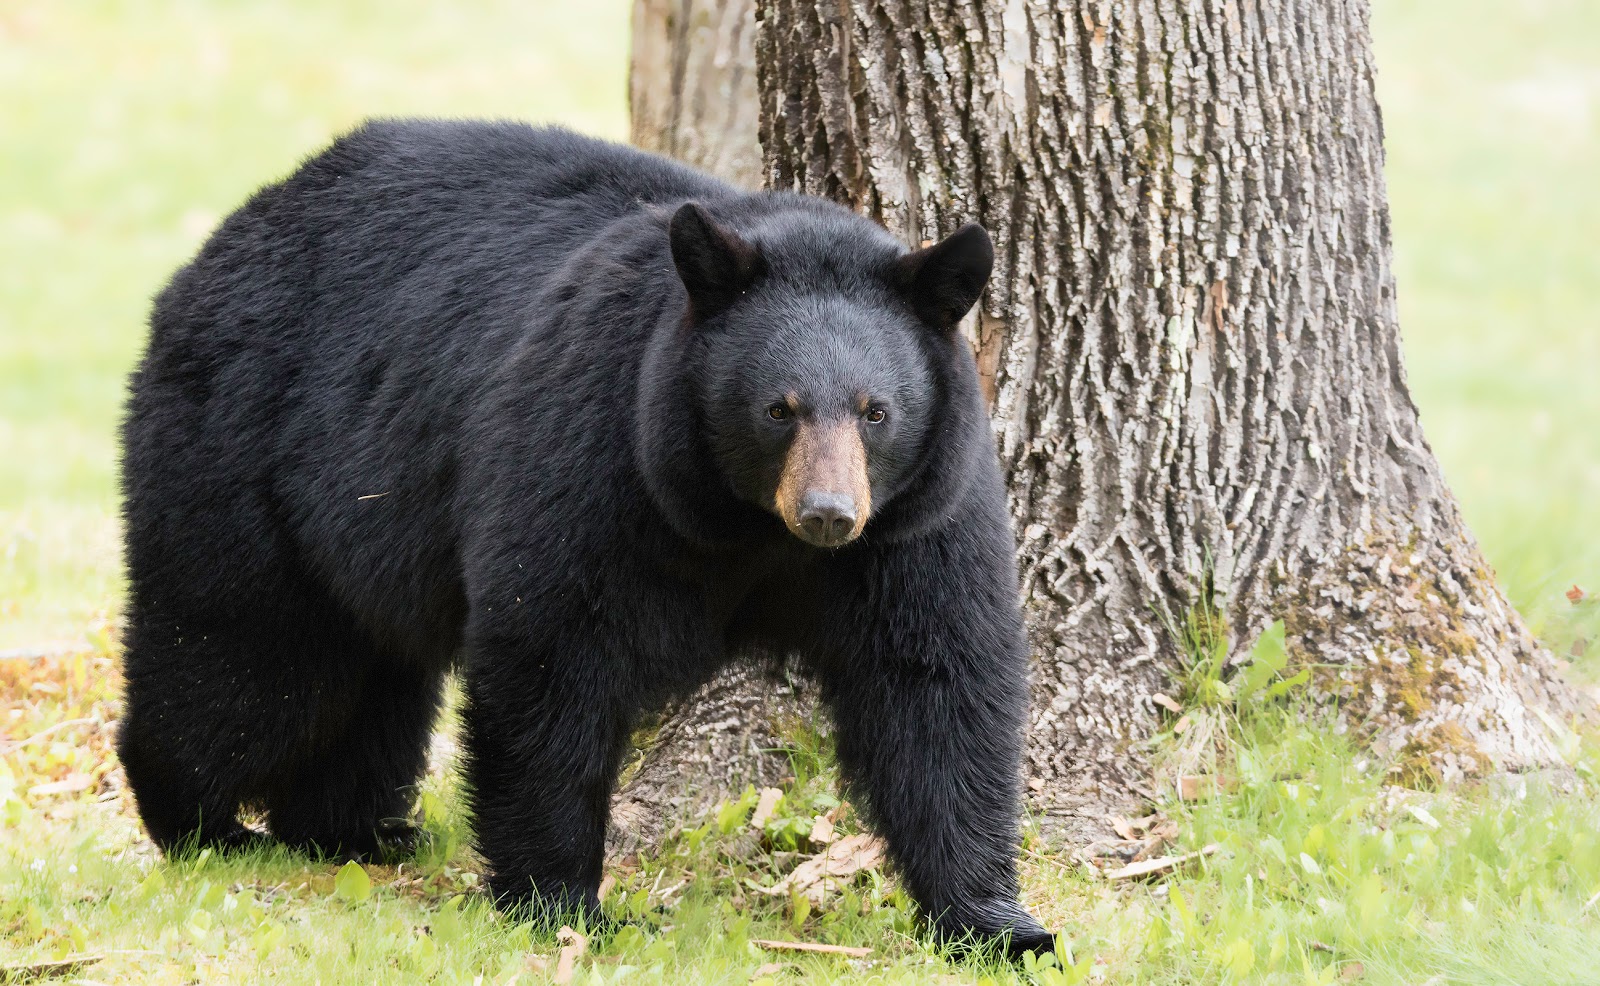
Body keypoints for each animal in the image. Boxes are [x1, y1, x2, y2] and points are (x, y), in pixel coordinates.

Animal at [117, 120, 1055, 957]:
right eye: (778, 408)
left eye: (875, 410)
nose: (828, 511)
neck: (749, 525)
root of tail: (221, 242)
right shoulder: (598, 455)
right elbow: (556, 655)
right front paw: (563, 903)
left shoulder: (919, 517)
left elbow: (935, 681)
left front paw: (997, 925)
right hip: (242, 454)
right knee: (242, 655)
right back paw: (204, 824)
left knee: (372, 676)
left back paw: (354, 830)